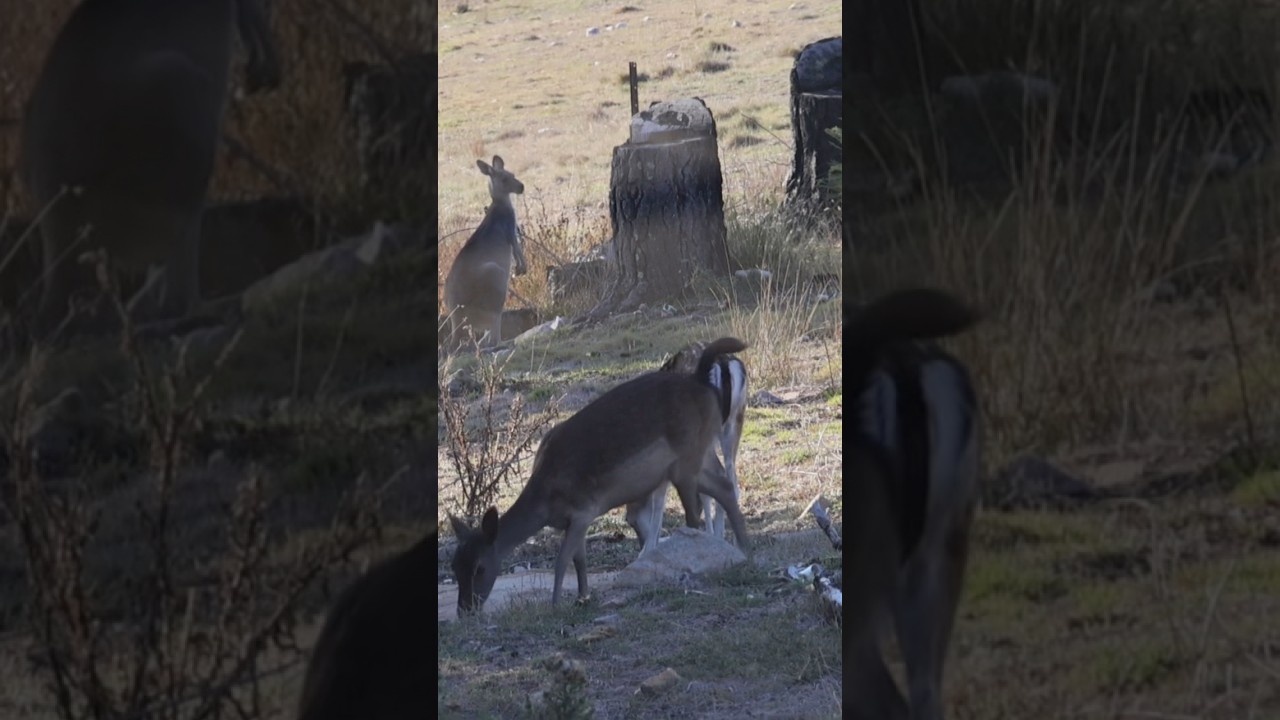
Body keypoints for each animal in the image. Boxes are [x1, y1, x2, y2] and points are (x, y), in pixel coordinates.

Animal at [442, 156, 528, 351]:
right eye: (504, 179)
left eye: (513, 174)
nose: (522, 187)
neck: (500, 202)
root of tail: (456, 324)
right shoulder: (509, 227)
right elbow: (516, 247)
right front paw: (521, 268)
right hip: (495, 276)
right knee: (494, 328)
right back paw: (504, 342)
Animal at [625, 342, 748, 555]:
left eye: (630, 520)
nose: (640, 545)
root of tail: (724, 365)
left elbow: (659, 500)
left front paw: (650, 548)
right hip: (734, 422)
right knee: (731, 479)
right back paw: (734, 543)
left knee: (720, 477)